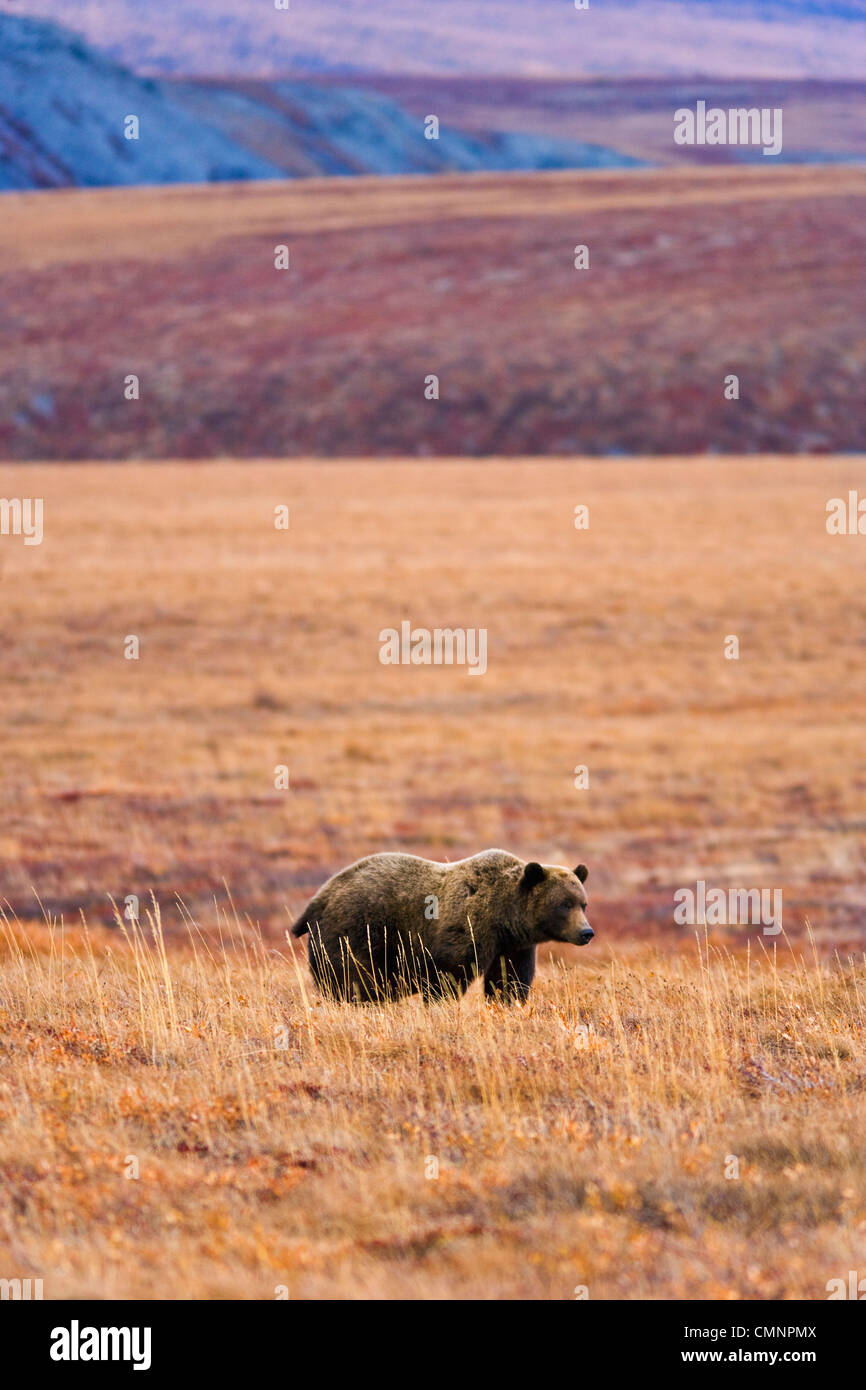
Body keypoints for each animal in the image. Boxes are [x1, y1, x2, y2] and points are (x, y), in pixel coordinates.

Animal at [290, 849, 593, 1004]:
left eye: (583, 903)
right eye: (564, 904)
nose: (586, 932)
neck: (504, 918)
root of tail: (320, 897)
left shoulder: (513, 946)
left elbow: (509, 980)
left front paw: (507, 1001)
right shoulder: (465, 929)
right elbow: (446, 975)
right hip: (355, 928)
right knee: (355, 978)